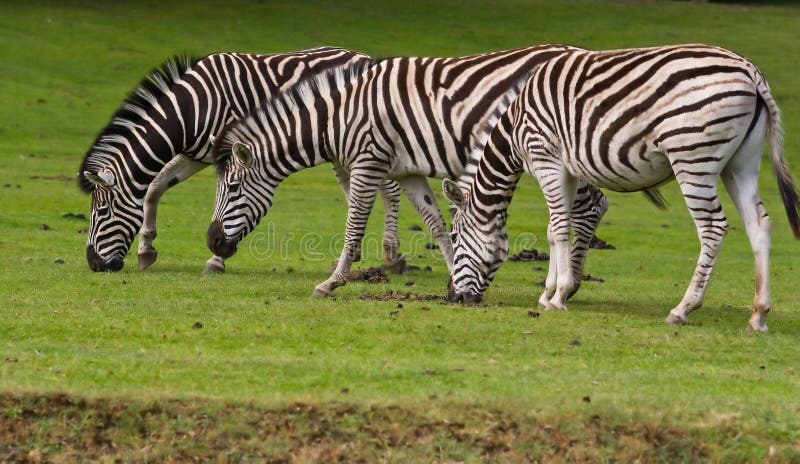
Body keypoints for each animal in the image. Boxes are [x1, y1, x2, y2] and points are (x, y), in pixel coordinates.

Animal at [78, 47, 410, 273]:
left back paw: (392, 255)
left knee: (391, 191)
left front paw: (216, 260)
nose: (94, 264)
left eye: (102, 212)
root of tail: (363, 56)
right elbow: (155, 188)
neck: (191, 110)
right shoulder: (194, 155)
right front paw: (146, 249)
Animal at [206, 44, 620, 298]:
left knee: (592, 206)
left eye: (234, 187)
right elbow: (436, 223)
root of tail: (579, 52)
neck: (340, 115)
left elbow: (353, 224)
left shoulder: (367, 161)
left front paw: (332, 282)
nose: (212, 243)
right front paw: (455, 278)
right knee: (594, 204)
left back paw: (570, 284)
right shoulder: (407, 171)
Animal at [443, 44, 800, 332]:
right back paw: (758, 314)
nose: (453, 297)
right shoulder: (567, 170)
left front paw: (557, 296)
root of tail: (749, 70)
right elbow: (555, 229)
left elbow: (557, 228)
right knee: (759, 225)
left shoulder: (546, 159)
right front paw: (548, 293)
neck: (514, 126)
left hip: (693, 157)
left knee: (713, 227)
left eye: (454, 237)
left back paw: (683, 308)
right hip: (741, 164)